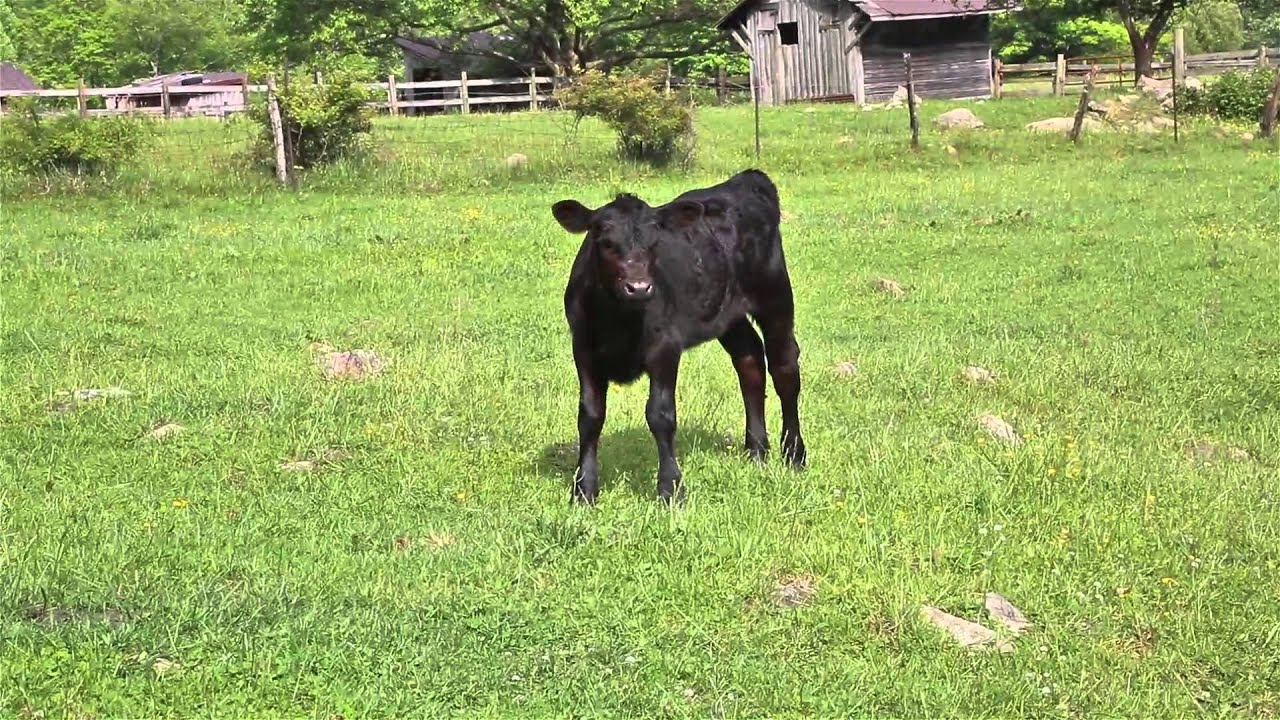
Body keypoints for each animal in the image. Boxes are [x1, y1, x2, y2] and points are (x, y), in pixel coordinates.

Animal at [551, 169, 806, 505]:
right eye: (604, 242)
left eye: (655, 242)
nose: (639, 287)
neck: (618, 320)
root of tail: (747, 179)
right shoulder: (583, 348)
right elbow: (590, 416)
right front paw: (584, 489)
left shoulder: (665, 346)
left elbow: (660, 415)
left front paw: (670, 488)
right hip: (728, 314)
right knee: (749, 360)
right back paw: (756, 450)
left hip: (775, 297)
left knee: (784, 367)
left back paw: (794, 454)